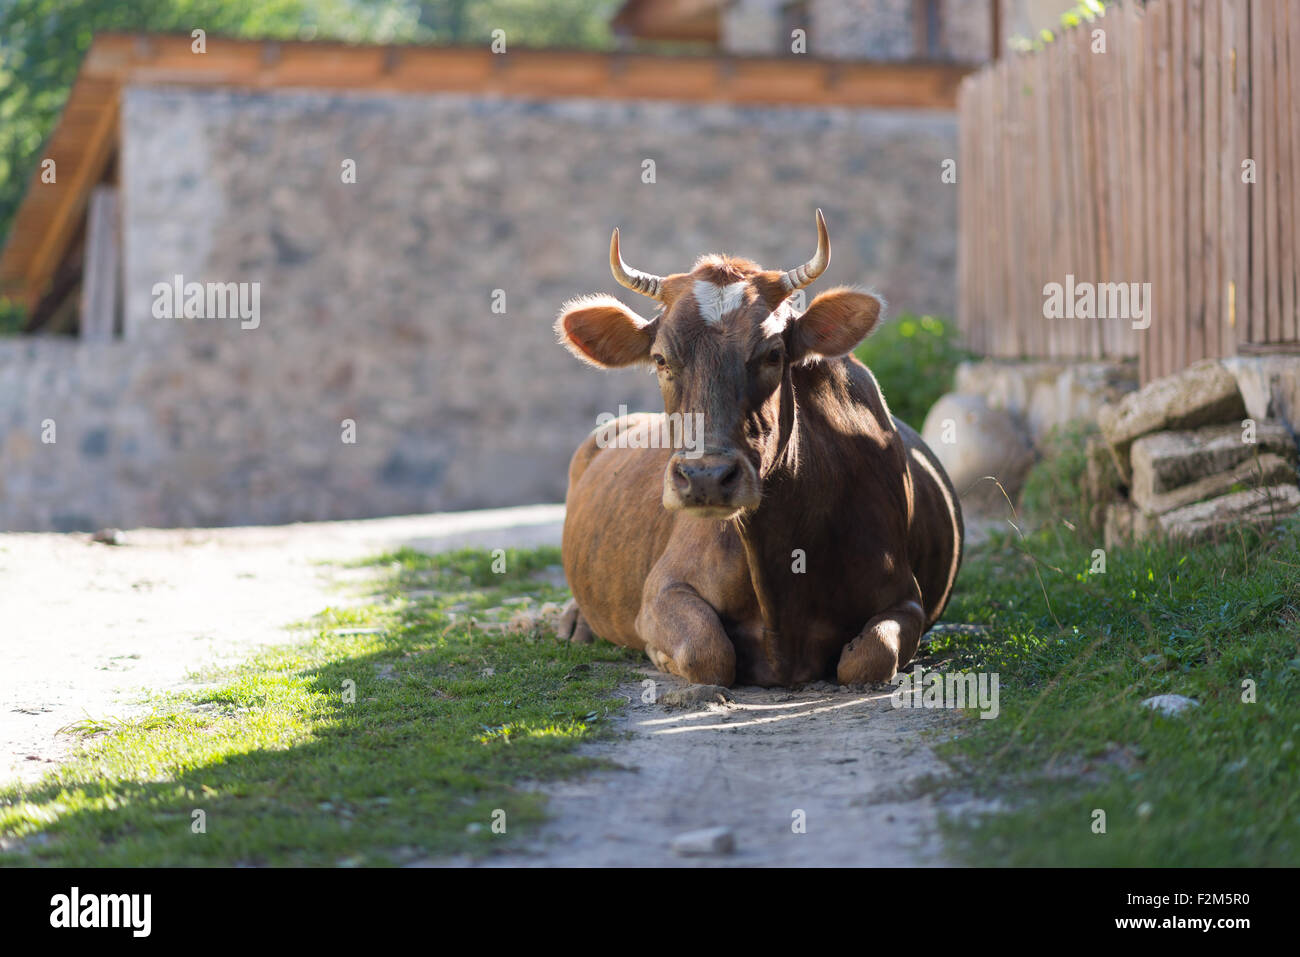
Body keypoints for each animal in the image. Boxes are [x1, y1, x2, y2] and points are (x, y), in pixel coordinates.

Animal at [553, 211, 963, 687]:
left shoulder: (905, 597)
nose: (706, 479)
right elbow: (707, 652)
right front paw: (660, 655)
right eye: (660, 359)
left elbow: (868, 657)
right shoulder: (662, 588)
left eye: (772, 354)